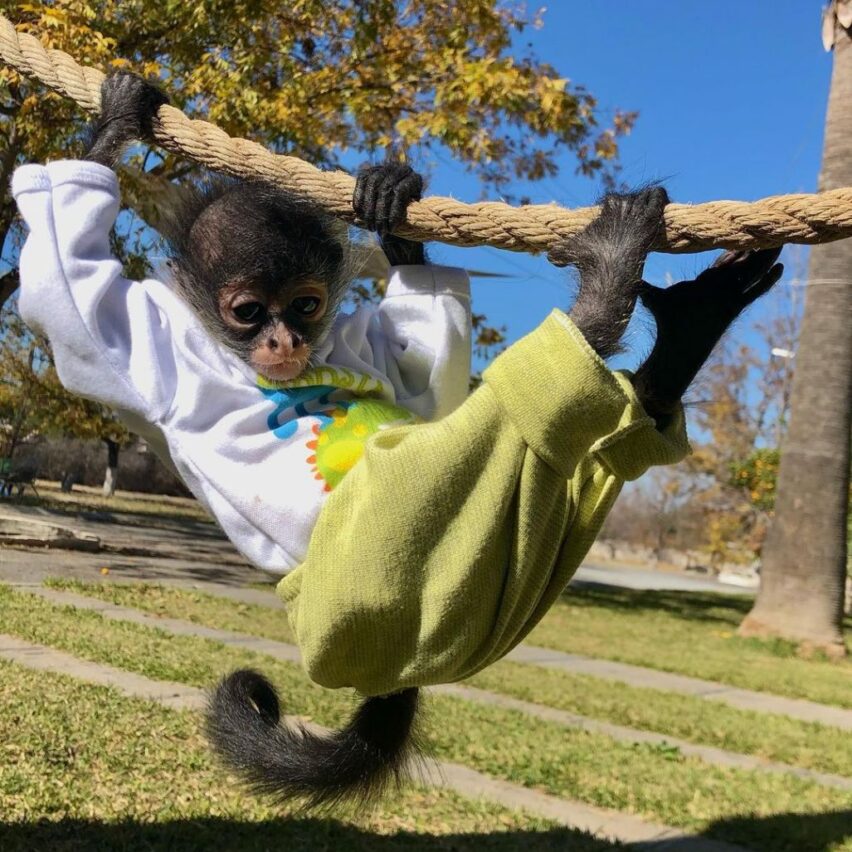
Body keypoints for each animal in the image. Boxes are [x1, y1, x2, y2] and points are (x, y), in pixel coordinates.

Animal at [12, 72, 782, 811]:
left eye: (306, 305)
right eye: (248, 312)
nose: (284, 342)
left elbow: (420, 373)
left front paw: (391, 207)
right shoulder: (150, 348)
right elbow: (71, 297)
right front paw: (111, 127)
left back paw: (686, 330)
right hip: (396, 560)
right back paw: (618, 282)